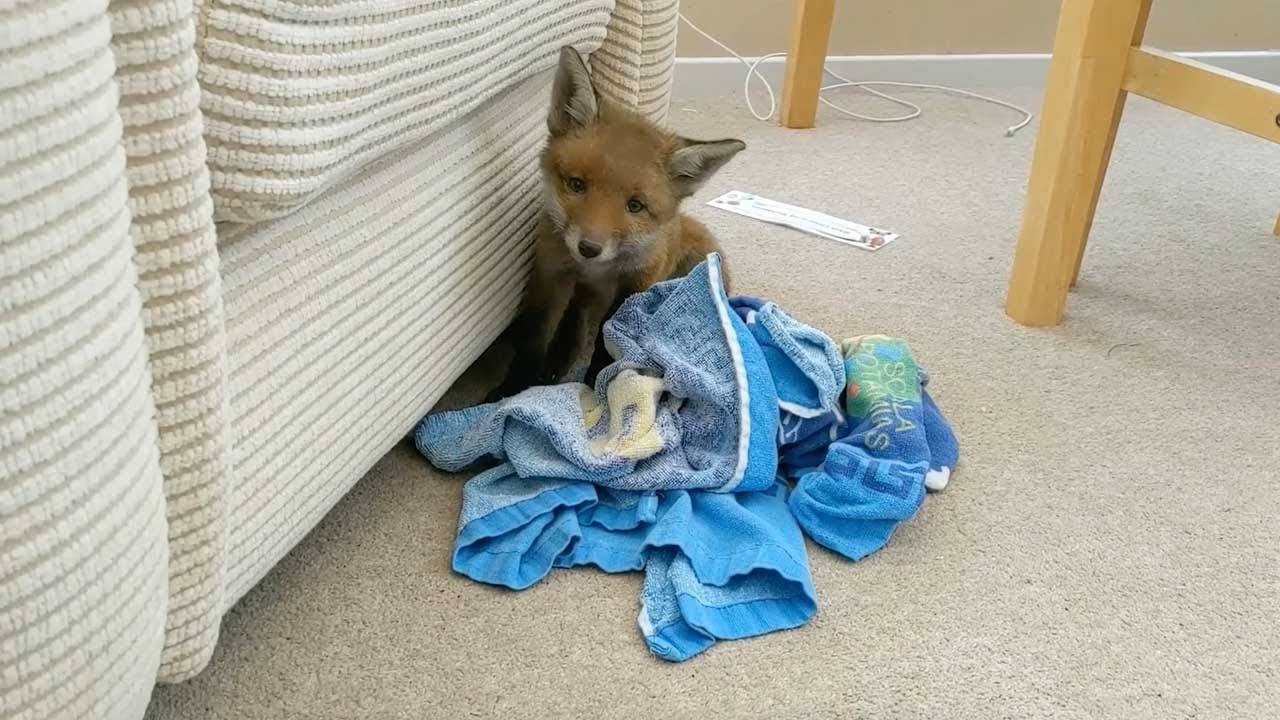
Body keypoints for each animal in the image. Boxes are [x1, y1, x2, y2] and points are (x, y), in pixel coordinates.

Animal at [490, 46, 745, 399]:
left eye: (635, 206)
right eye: (576, 185)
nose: (589, 248)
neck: (595, 271)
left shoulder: (636, 282)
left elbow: (607, 339)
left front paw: (600, 383)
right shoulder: (551, 272)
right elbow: (535, 337)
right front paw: (513, 388)